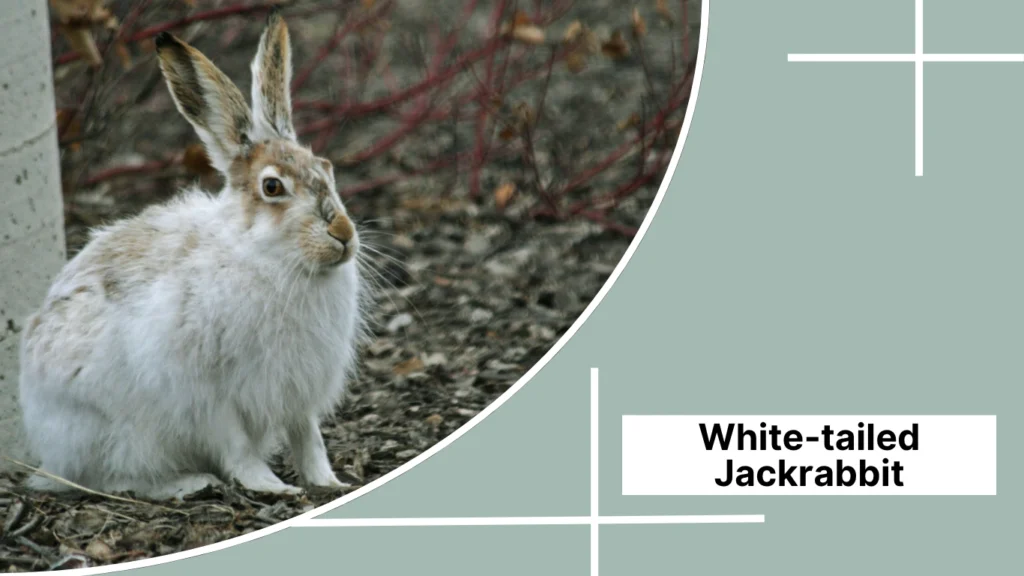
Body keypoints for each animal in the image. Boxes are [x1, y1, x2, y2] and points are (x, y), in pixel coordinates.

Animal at [17, 11, 364, 500]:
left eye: (327, 168)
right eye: (272, 187)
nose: (343, 234)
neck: (267, 257)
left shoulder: (299, 393)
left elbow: (308, 437)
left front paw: (328, 482)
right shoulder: (209, 394)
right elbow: (237, 447)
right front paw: (274, 488)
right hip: (112, 428)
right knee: (111, 478)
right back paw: (188, 483)